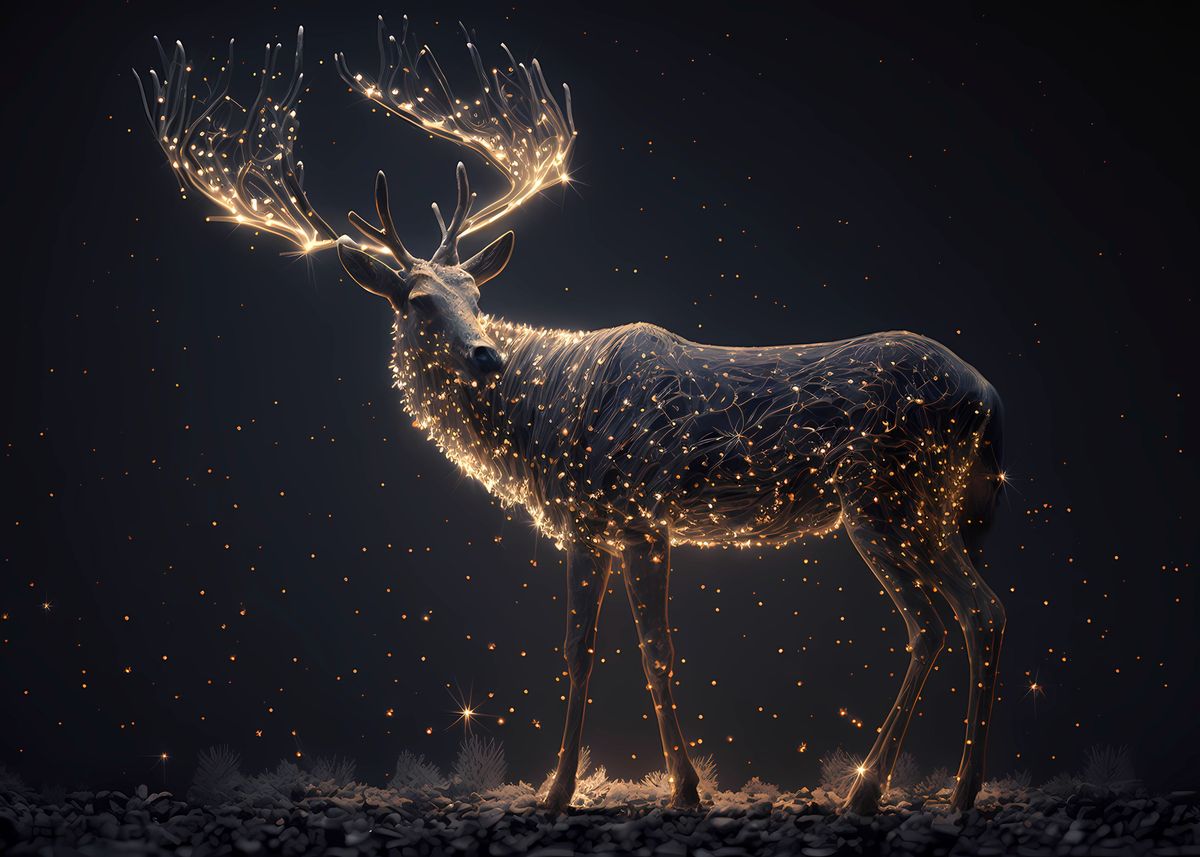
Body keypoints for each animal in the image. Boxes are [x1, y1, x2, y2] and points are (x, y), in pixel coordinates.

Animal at [136, 17, 1007, 815]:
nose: (486, 353)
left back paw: (870, 789)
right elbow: (589, 650)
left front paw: (643, 788)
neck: (548, 414)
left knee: (935, 621)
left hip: (887, 497)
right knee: (983, 610)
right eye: (418, 301)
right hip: (929, 506)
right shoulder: (597, 521)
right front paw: (592, 785)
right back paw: (961, 790)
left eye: (475, 290)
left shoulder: (635, 512)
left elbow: (643, 652)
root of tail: (988, 397)